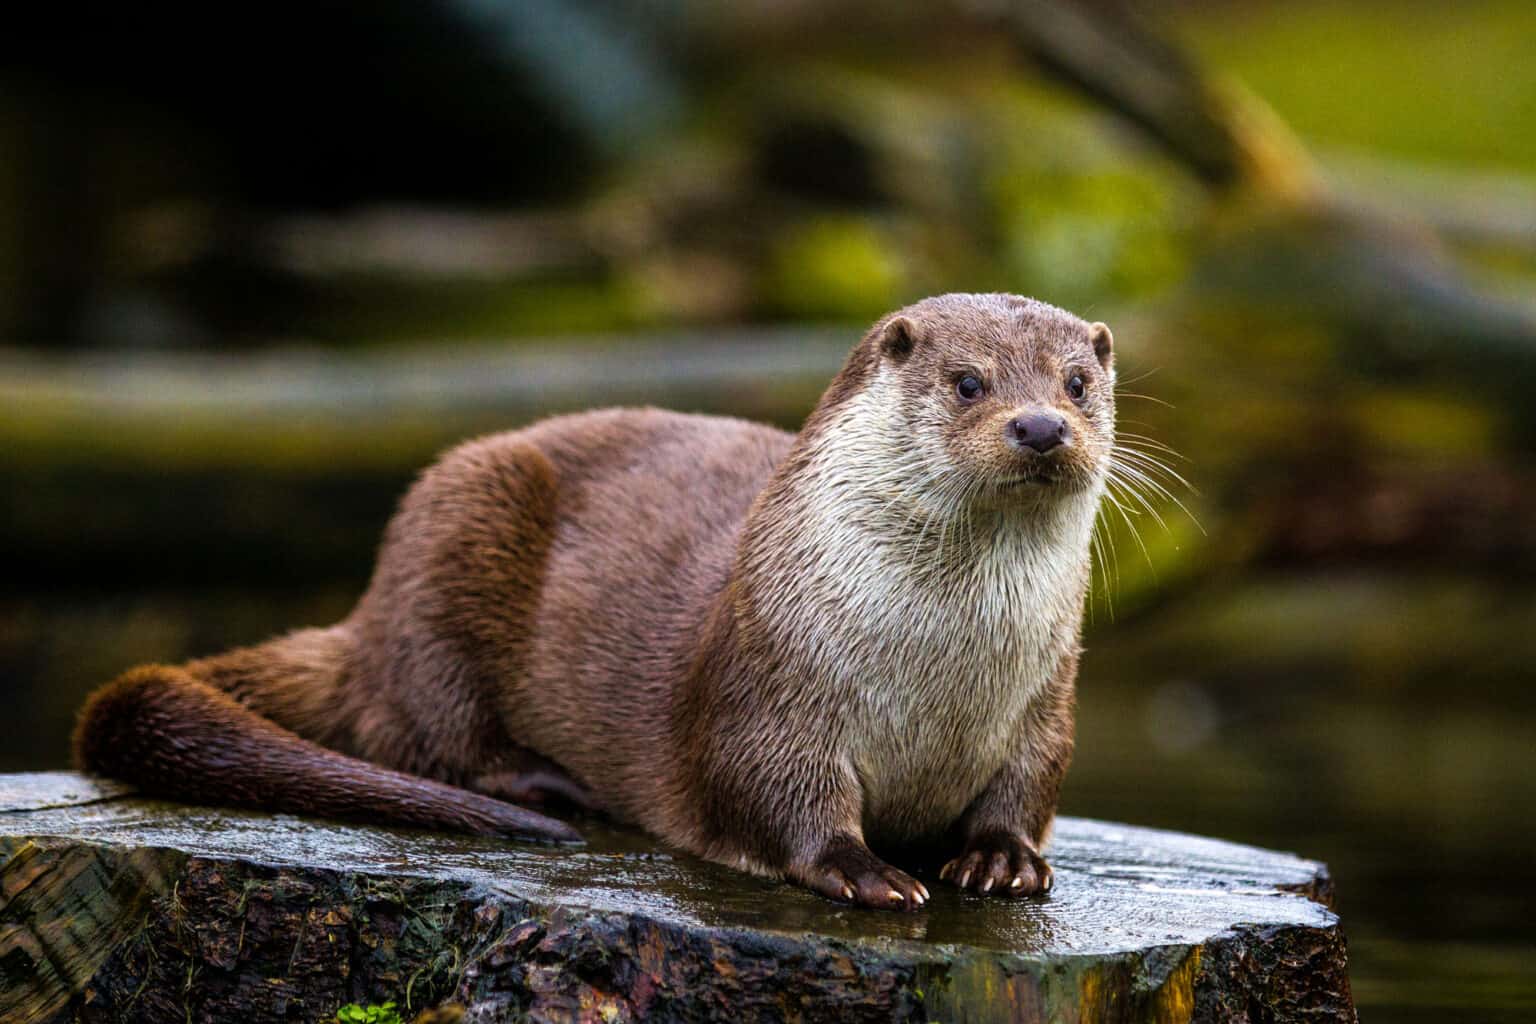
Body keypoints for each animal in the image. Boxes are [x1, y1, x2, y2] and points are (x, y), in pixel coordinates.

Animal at [75, 293, 1117, 911]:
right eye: (968, 382)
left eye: (1078, 383)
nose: (1040, 426)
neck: (938, 677)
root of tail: (365, 620)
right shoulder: (767, 687)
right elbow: (773, 793)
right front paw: (866, 871)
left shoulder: (1047, 702)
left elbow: (1031, 785)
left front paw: (1000, 860)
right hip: (452, 530)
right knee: (418, 729)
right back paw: (545, 785)